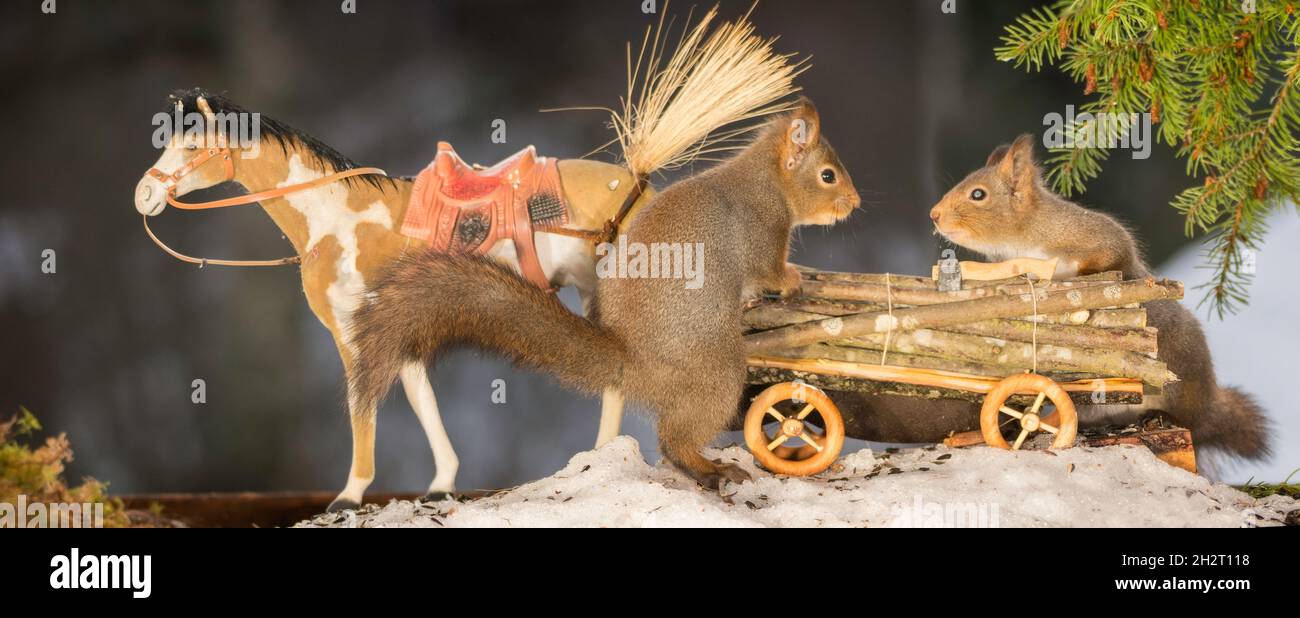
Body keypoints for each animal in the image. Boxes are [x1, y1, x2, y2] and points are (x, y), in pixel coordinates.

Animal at [345, 99, 861, 489]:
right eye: (828, 175)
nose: (854, 204)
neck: (765, 180)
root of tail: (632, 360)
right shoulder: (761, 234)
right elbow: (769, 271)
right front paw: (794, 280)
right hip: (717, 371)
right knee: (674, 439)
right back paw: (711, 469)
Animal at [928, 134, 1271, 463]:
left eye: (978, 194)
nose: (934, 215)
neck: (1024, 238)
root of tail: (1210, 407)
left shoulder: (1097, 237)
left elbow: (1114, 257)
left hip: (1179, 368)